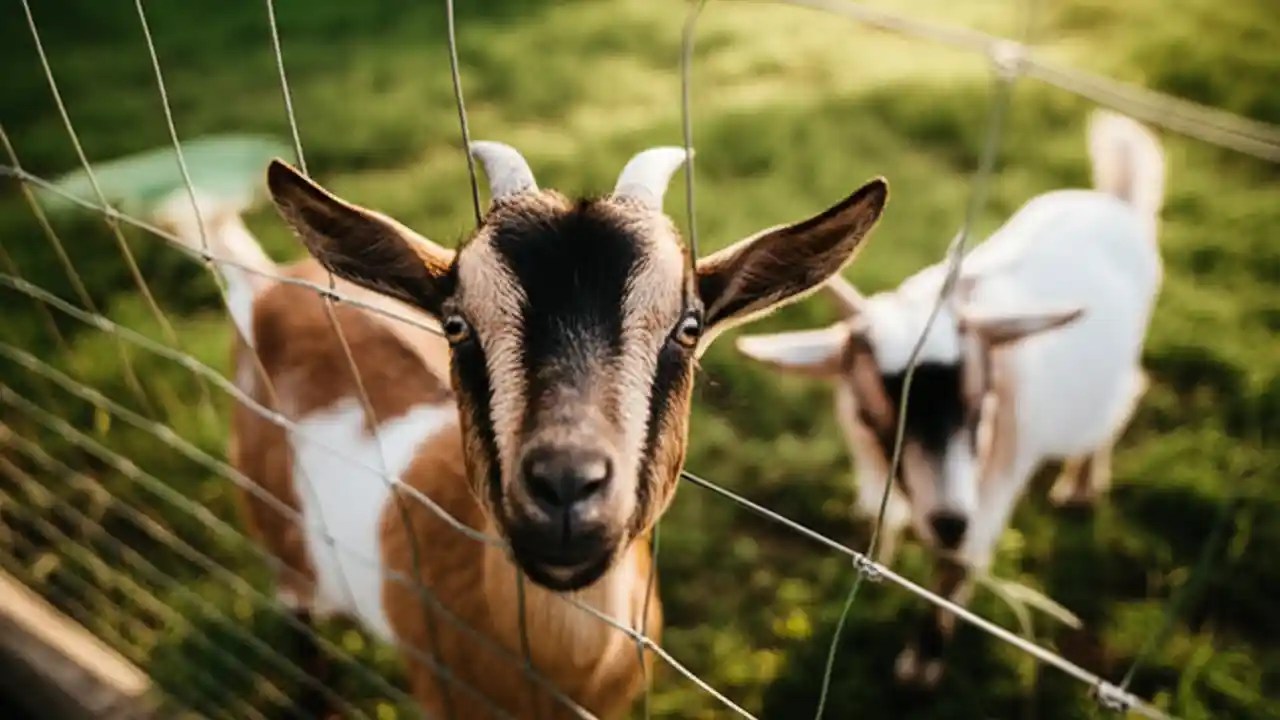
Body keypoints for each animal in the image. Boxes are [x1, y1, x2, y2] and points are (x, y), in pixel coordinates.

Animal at [735, 110, 1165, 687]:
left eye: (981, 406)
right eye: (871, 417)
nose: (949, 522)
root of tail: (1114, 202)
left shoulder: (990, 491)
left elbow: (953, 573)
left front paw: (921, 663)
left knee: (1123, 402)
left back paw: (1079, 486)